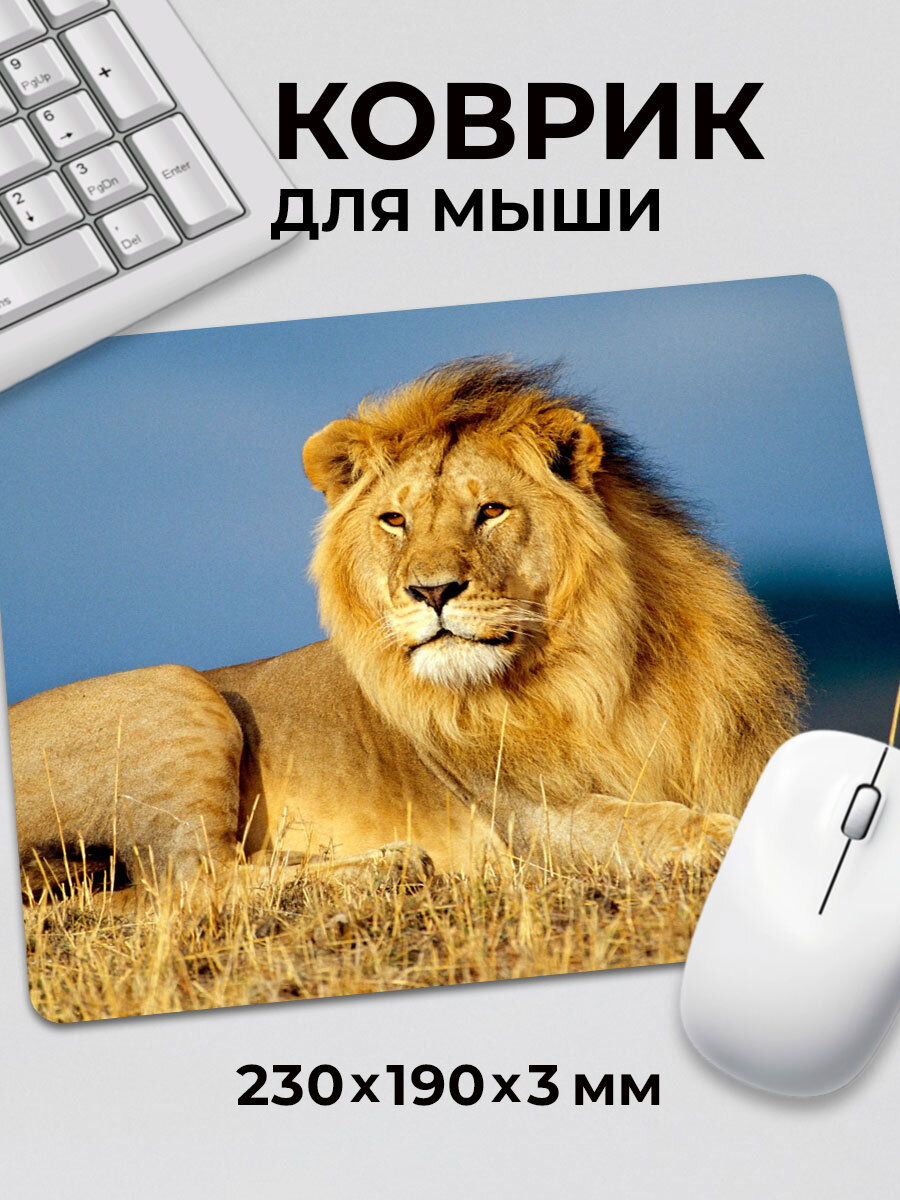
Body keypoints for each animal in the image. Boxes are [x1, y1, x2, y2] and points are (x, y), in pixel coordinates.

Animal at [10, 358, 804, 900]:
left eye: (491, 510)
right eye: (395, 519)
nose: (432, 590)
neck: (598, 673)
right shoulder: (529, 820)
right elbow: (655, 824)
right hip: (175, 692)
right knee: (191, 884)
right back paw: (388, 865)